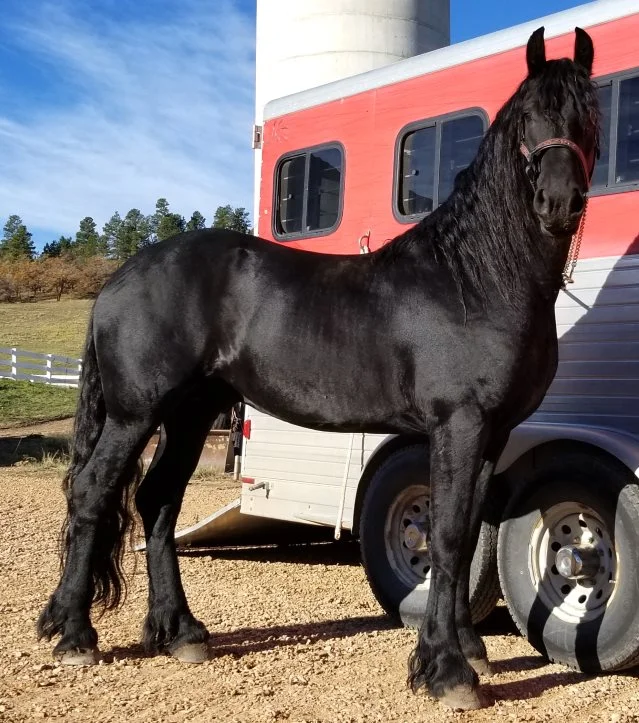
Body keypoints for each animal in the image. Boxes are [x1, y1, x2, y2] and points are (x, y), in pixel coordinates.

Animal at [38, 26, 599, 710]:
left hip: (190, 414)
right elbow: (445, 536)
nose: (558, 201)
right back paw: (76, 634)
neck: (475, 279)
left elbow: (467, 536)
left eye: (590, 114)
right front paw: (445, 671)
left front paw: (469, 650)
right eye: (528, 119)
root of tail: (120, 277)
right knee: (93, 492)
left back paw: (180, 632)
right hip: (134, 414)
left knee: (158, 502)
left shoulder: (493, 433)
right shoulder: (458, 425)